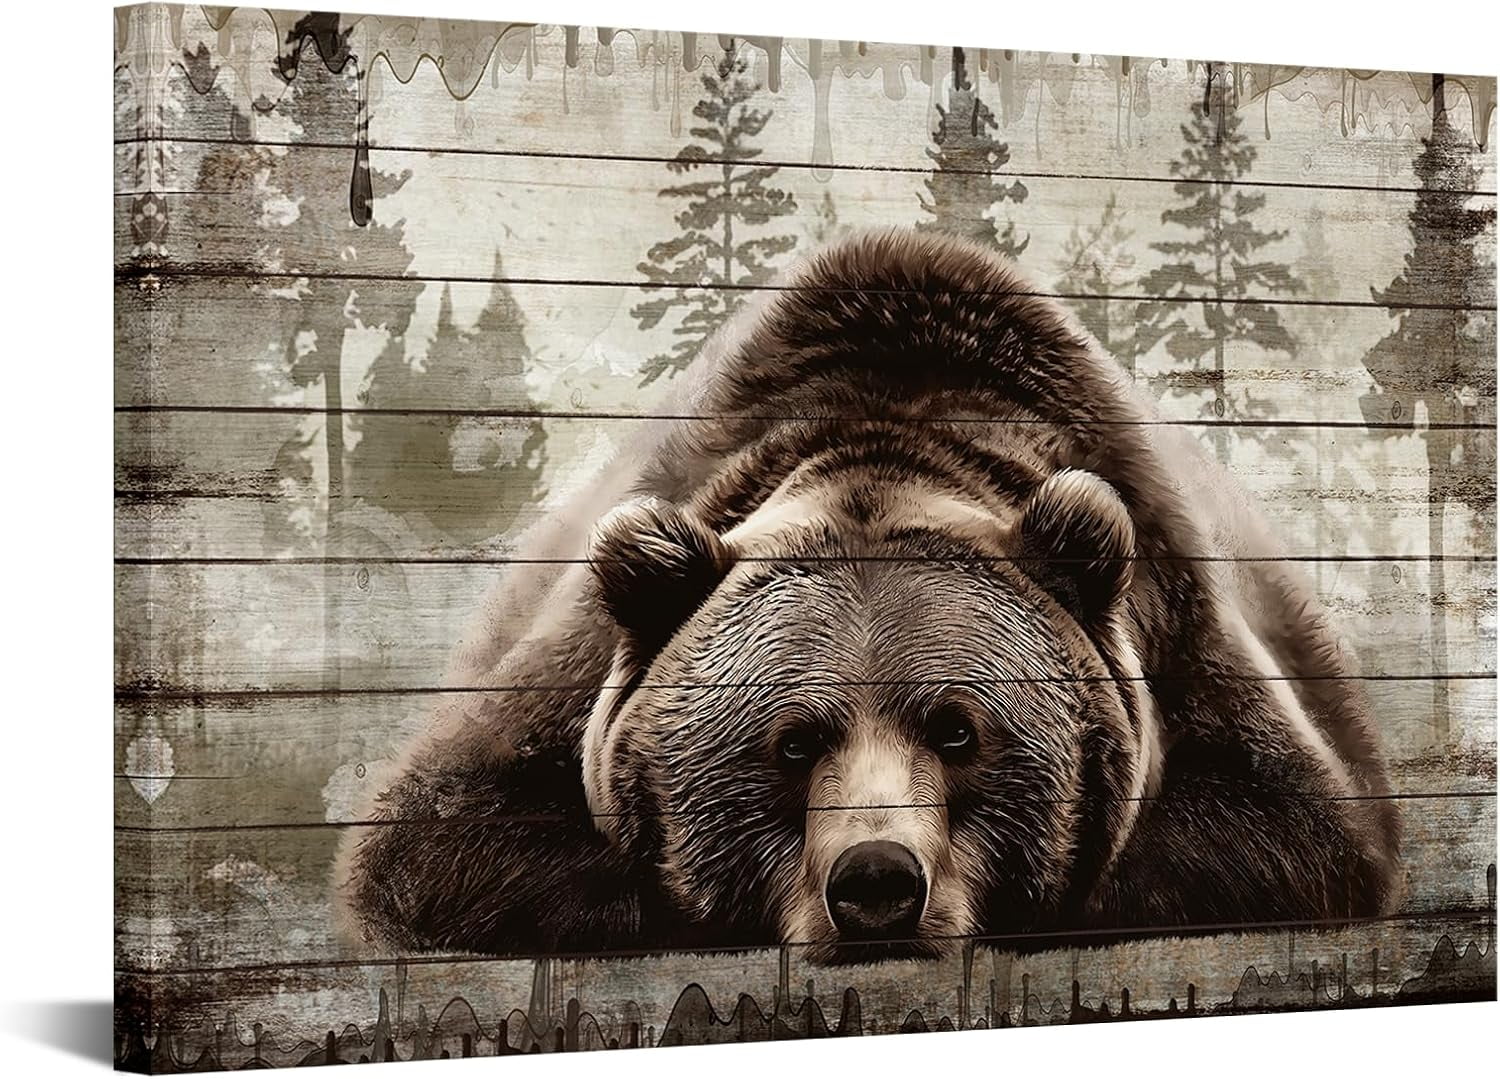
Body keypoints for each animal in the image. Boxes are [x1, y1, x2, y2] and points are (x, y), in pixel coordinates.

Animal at [333, 228, 1401, 965]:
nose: (878, 880)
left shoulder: (1177, 622)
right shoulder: (575, 667)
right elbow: (444, 835)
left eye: (959, 728)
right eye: (793, 738)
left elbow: (1281, 826)